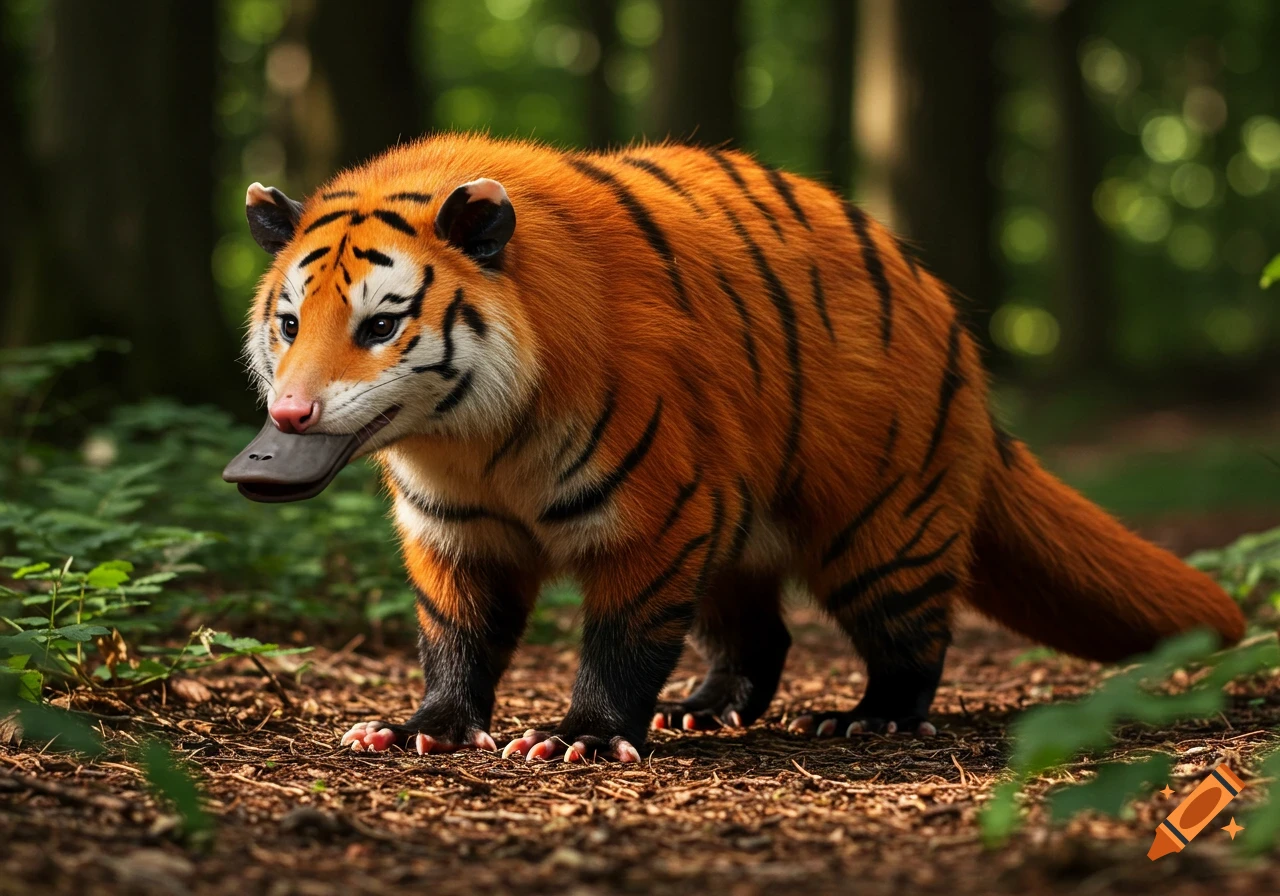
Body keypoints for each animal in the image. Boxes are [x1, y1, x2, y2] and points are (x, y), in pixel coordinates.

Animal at [231, 133, 1244, 763]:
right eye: (290, 323)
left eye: (381, 324)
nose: (289, 419)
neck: (468, 438)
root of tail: (946, 317)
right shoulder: (458, 536)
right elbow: (456, 640)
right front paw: (425, 729)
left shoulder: (651, 519)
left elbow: (623, 639)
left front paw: (584, 736)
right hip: (731, 525)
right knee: (762, 630)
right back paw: (706, 707)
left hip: (880, 528)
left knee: (914, 635)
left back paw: (874, 720)